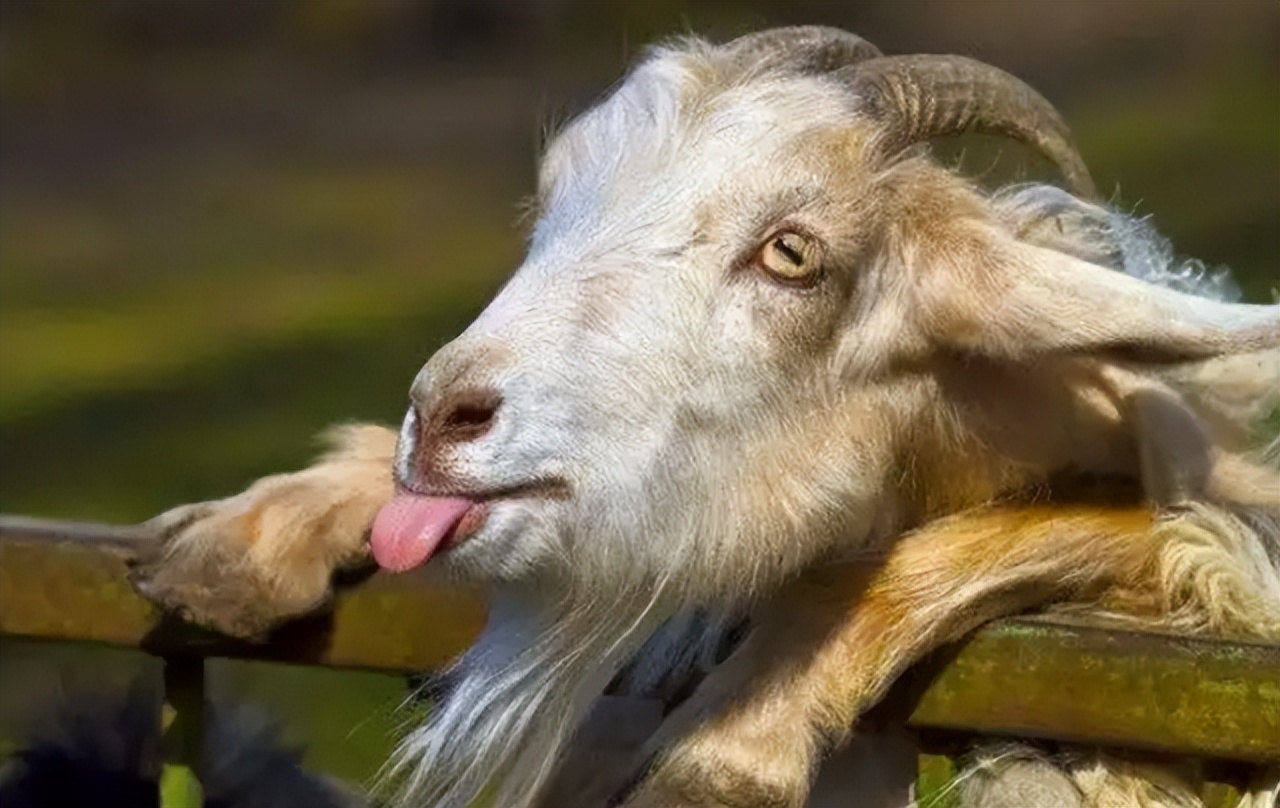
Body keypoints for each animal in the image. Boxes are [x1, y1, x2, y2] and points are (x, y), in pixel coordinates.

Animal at [128, 26, 1279, 808]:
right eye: (549, 213)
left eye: (792, 252)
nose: (444, 415)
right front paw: (236, 541)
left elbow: (1088, 527)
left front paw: (732, 740)